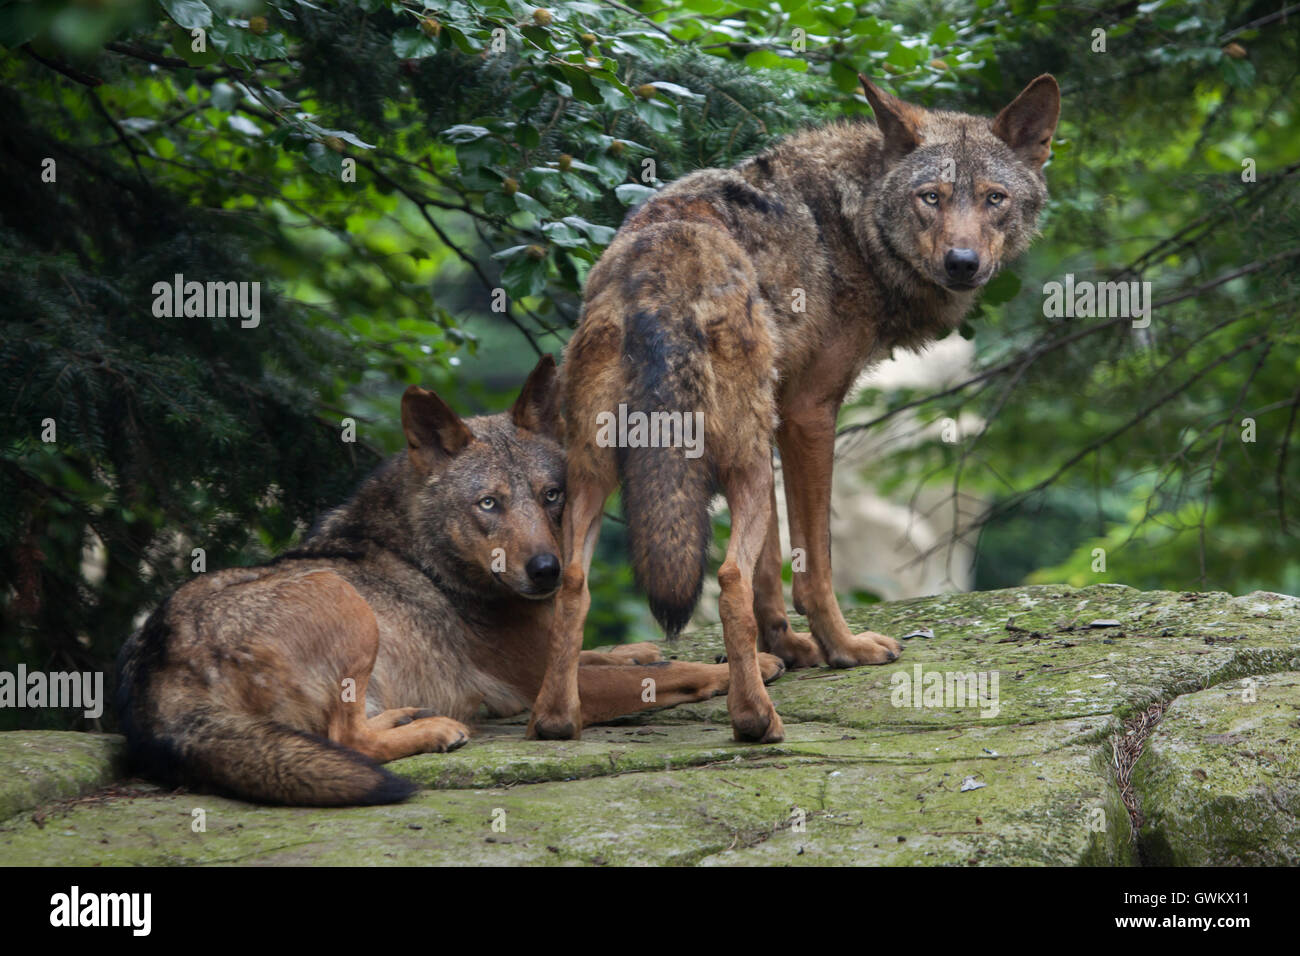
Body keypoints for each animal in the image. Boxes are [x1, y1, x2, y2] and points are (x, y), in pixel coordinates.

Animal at [116, 357, 784, 806]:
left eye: (552, 496)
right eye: (489, 504)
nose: (547, 571)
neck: (433, 562)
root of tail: (154, 667)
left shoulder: (552, 646)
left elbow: (617, 653)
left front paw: (639, 646)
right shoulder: (544, 688)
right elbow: (674, 673)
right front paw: (750, 669)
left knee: (347, 731)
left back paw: (411, 716)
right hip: (343, 599)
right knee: (347, 740)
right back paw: (436, 729)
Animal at [529, 75, 1060, 743]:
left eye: (994, 198)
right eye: (930, 198)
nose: (962, 263)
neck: (854, 224)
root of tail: (659, 267)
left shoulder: (777, 415)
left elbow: (771, 564)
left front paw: (789, 648)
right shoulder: (811, 413)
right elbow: (813, 565)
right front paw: (843, 649)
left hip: (604, 472)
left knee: (575, 584)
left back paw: (557, 720)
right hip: (742, 463)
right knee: (727, 580)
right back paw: (756, 719)